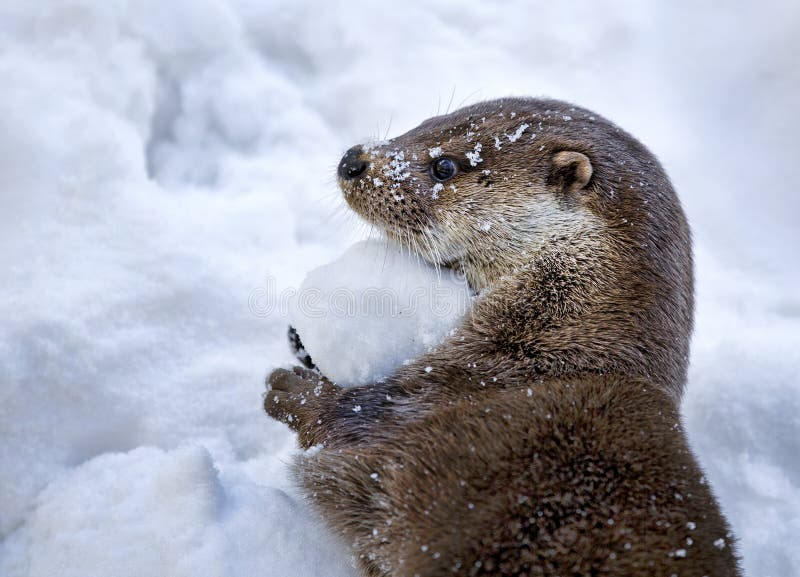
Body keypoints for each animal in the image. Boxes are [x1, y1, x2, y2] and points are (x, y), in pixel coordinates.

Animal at [265, 98, 740, 576]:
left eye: (444, 166)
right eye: (424, 123)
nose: (353, 160)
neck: (555, 355)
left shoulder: (425, 403)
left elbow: (346, 417)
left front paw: (289, 387)